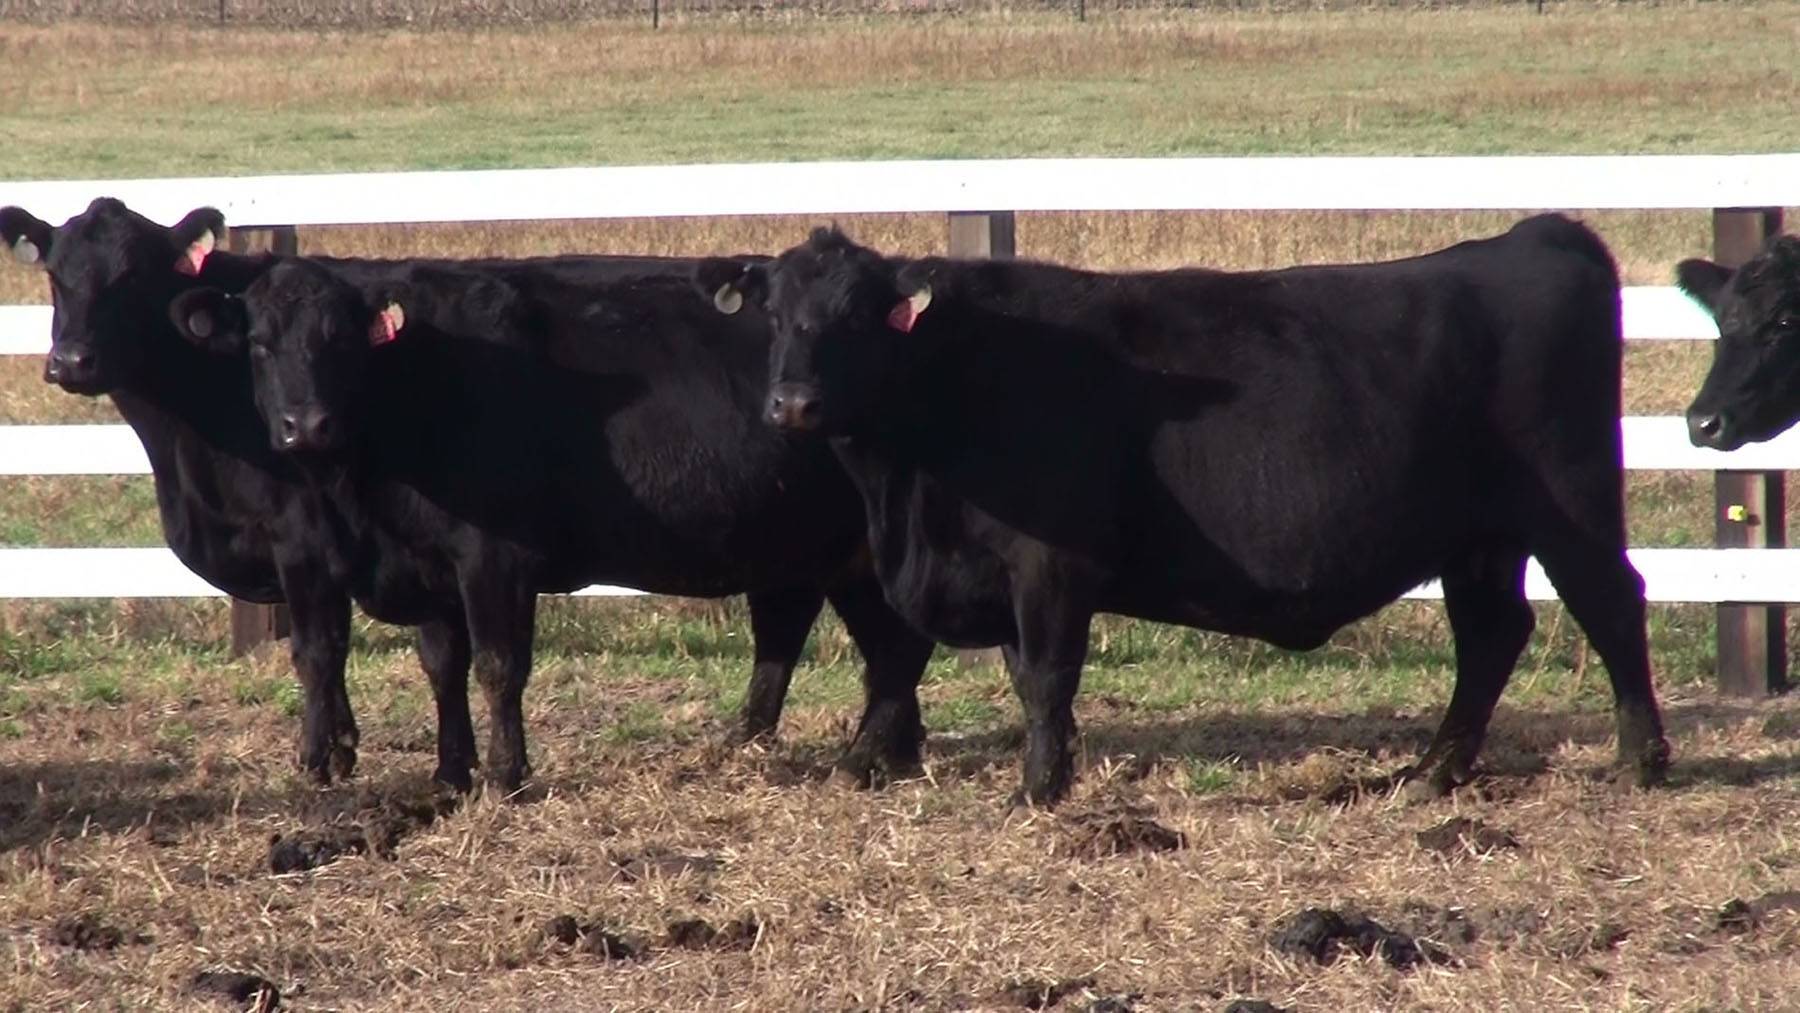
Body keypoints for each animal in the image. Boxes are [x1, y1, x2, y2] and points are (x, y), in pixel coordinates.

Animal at [0, 199, 933, 793]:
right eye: (57, 275)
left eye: (132, 275)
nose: (70, 361)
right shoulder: (411, 558)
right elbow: (436, 661)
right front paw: (444, 770)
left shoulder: (365, 549)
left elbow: (361, 655)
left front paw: (343, 762)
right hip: (831, 549)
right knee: (856, 640)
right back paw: (874, 753)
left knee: (886, 644)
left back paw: (864, 758)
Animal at [698, 218, 1672, 806]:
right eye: (777, 316)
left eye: (859, 315)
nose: (793, 404)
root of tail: (1530, 235)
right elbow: (1028, 677)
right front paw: (1060, 770)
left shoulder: (1053, 563)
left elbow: (1047, 674)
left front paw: (1037, 789)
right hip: (1479, 538)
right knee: (1492, 633)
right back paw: (1433, 770)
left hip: (1569, 504)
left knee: (1611, 604)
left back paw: (1640, 759)